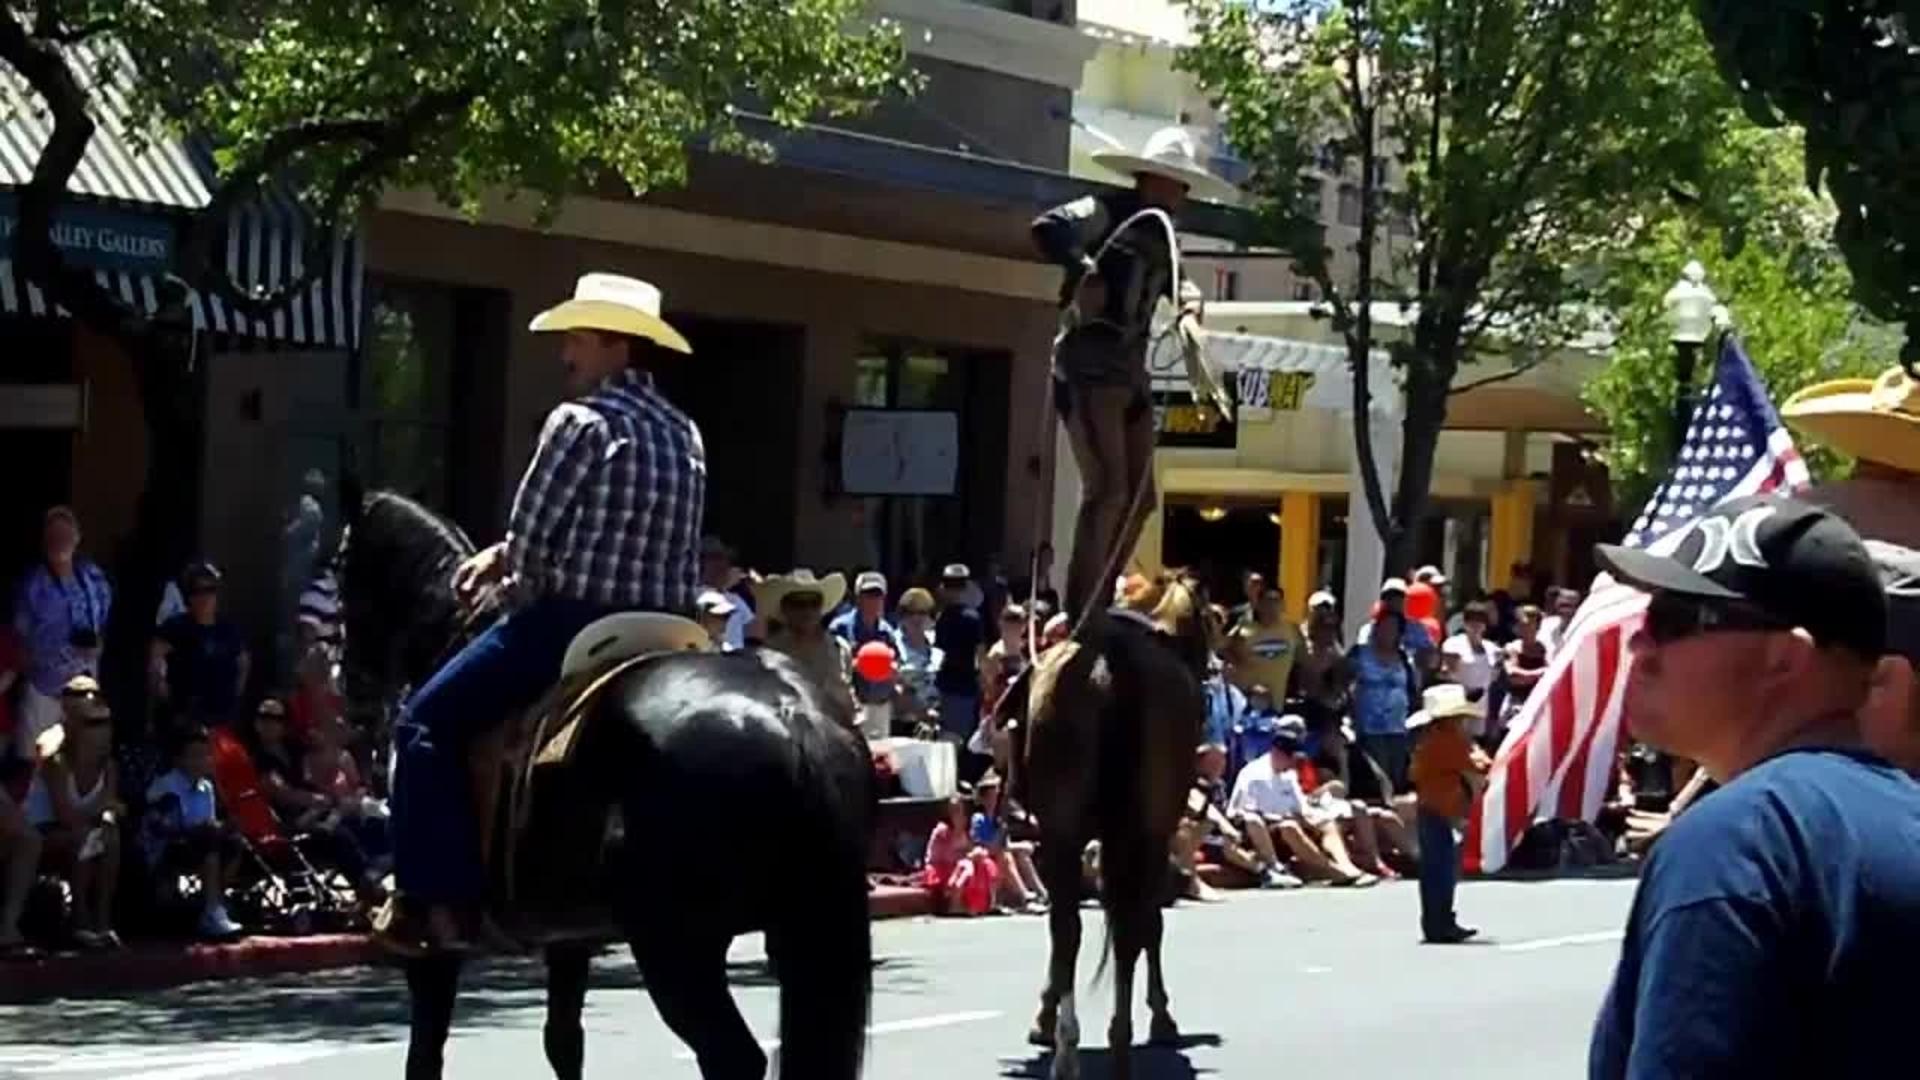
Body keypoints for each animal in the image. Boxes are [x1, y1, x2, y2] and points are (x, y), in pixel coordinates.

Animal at [337, 490, 874, 1080]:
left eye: (340, 566)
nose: (349, 685)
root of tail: (792, 714)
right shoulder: (569, 935)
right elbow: (563, 1042)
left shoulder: (434, 944)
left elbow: (425, 1053)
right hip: (797, 926)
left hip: (674, 944)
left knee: (731, 1057)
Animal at [1017, 570, 1210, 1080]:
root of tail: (1110, 664)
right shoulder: (1154, 836)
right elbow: (1151, 922)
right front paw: (1163, 1015)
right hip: (1127, 835)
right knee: (1123, 929)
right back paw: (1114, 1044)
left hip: (1068, 833)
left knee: (1072, 928)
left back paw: (1071, 1050)